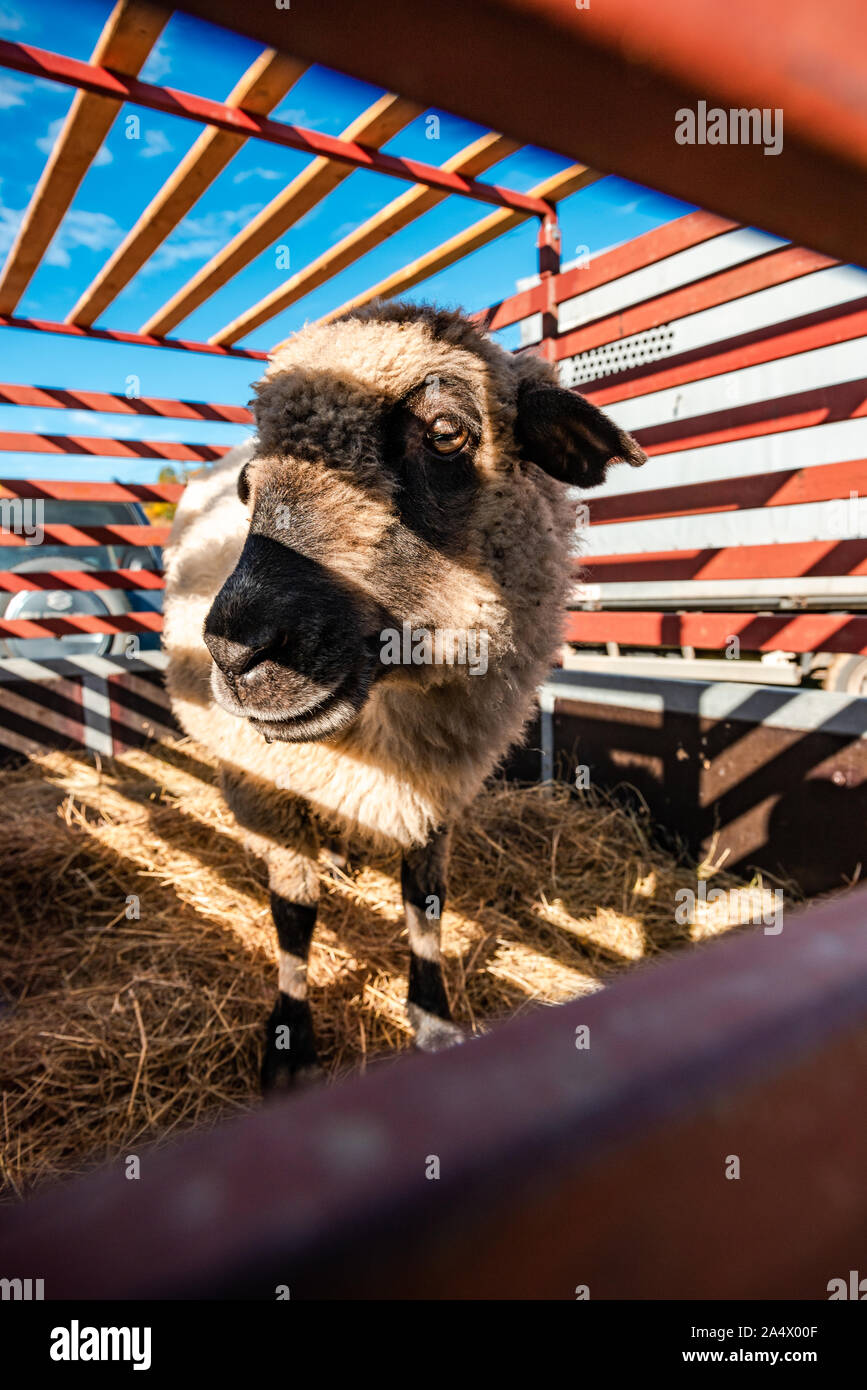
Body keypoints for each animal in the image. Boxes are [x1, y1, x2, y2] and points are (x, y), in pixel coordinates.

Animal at [163, 301, 645, 1089]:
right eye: (252, 485)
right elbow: (293, 915)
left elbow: (426, 906)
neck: (393, 703)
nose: (236, 650)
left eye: (446, 433)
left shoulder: (438, 787)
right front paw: (289, 1045)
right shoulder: (267, 782)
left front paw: (433, 1022)